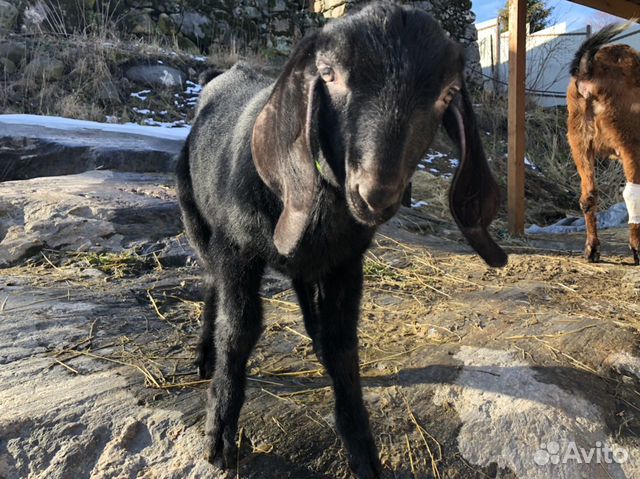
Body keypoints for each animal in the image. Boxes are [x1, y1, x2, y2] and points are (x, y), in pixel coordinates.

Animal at [176, 3, 507, 478]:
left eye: (448, 93)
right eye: (329, 74)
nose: (376, 194)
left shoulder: (346, 263)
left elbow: (342, 343)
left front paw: (363, 449)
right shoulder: (237, 250)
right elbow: (239, 329)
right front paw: (219, 433)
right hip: (198, 219)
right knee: (210, 281)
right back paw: (205, 355)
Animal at [567, 21, 640, 265]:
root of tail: (589, 70)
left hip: (579, 141)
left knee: (588, 196)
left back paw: (591, 249)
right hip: (629, 141)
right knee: (632, 194)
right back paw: (636, 249)